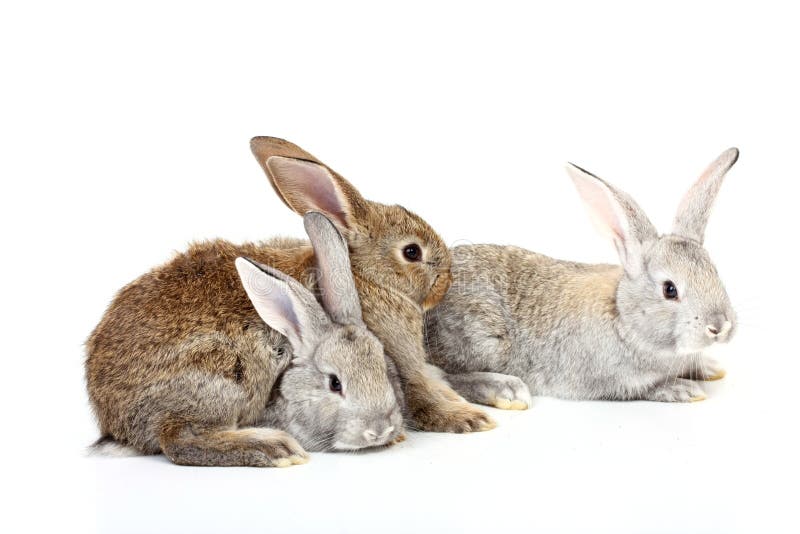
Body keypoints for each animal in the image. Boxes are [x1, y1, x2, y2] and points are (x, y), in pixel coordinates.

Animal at [86, 212, 404, 467]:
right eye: (335, 384)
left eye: (385, 369)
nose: (380, 430)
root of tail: (114, 422)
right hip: (218, 376)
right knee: (180, 440)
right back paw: (276, 449)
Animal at [424, 148, 740, 405]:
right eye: (669, 289)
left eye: (715, 272)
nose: (720, 326)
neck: (624, 318)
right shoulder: (608, 381)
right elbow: (646, 389)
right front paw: (682, 389)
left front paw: (709, 367)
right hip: (483, 338)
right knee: (444, 377)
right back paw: (506, 390)